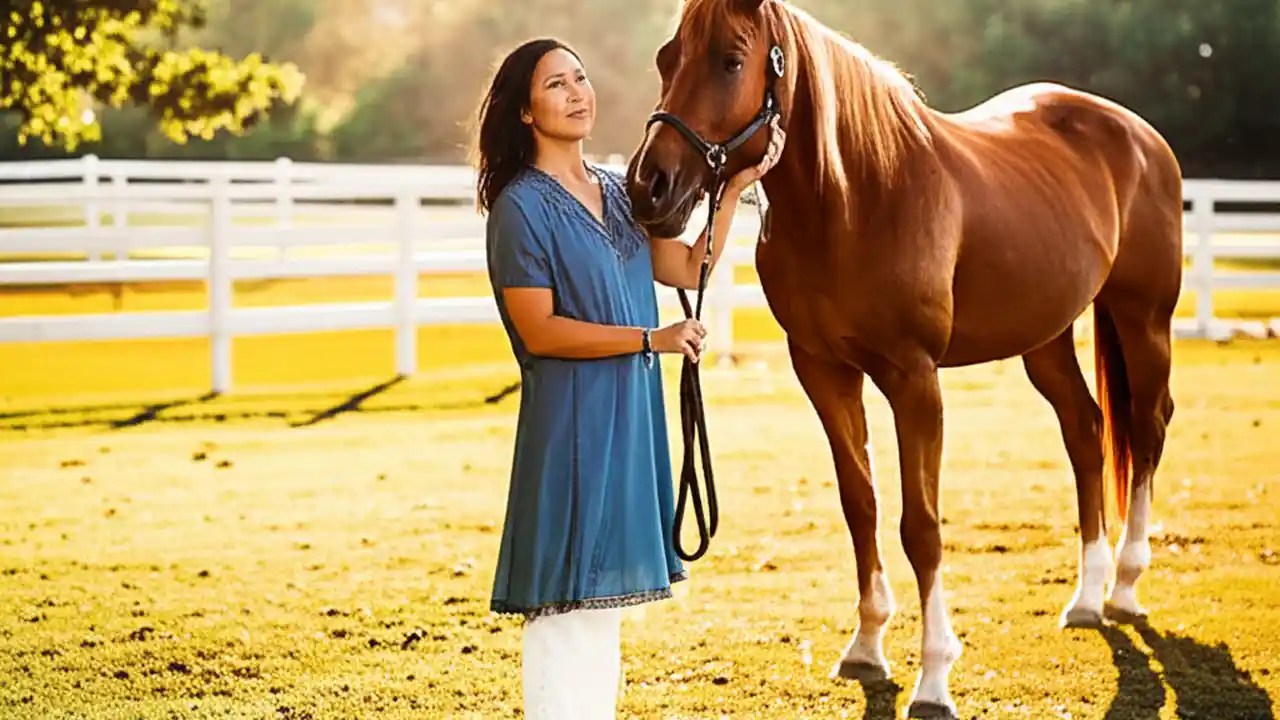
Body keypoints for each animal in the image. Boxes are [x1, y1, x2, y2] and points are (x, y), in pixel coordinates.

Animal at [624, 0, 1182, 717]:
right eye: (666, 58)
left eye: (730, 60)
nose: (648, 188)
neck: (857, 197)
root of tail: (1141, 136)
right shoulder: (823, 372)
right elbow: (860, 505)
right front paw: (865, 646)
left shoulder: (914, 379)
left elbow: (921, 526)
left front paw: (934, 678)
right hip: (1047, 338)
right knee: (1086, 430)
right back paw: (1086, 599)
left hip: (1144, 320)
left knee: (1146, 427)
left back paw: (1126, 587)